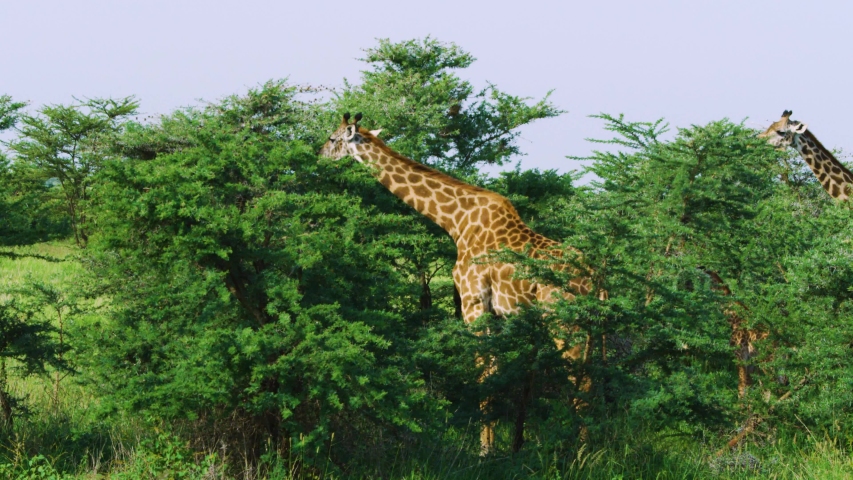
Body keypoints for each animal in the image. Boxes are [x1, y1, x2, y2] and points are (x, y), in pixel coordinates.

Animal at [320, 113, 598, 454]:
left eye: (333, 138)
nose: (319, 154)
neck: (455, 222)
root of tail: (594, 274)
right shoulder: (493, 312)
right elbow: (493, 375)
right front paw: (503, 446)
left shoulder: (472, 303)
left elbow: (482, 376)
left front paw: (484, 451)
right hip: (586, 325)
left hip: (563, 320)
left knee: (581, 381)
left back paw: (581, 453)